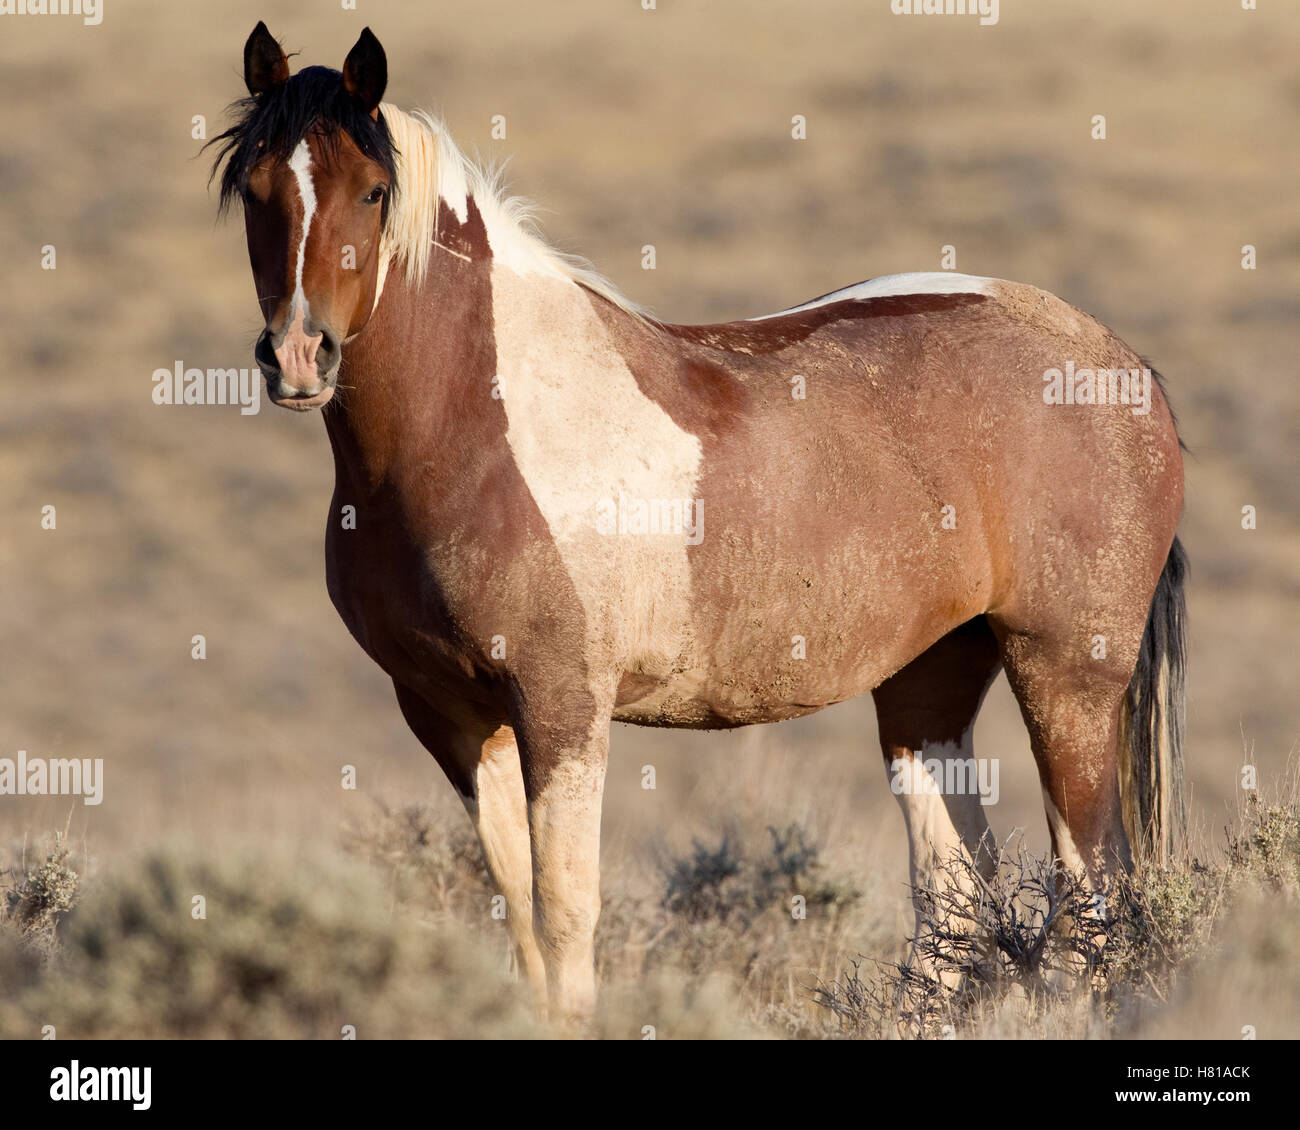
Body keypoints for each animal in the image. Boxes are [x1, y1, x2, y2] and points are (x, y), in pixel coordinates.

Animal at [211, 23, 1187, 1020]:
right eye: (254, 190)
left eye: (373, 191)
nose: (299, 355)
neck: (482, 421)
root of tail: (1124, 367)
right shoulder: (448, 714)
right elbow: (520, 921)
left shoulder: (563, 707)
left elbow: (566, 919)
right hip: (930, 684)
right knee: (957, 902)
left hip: (1065, 679)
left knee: (1088, 899)